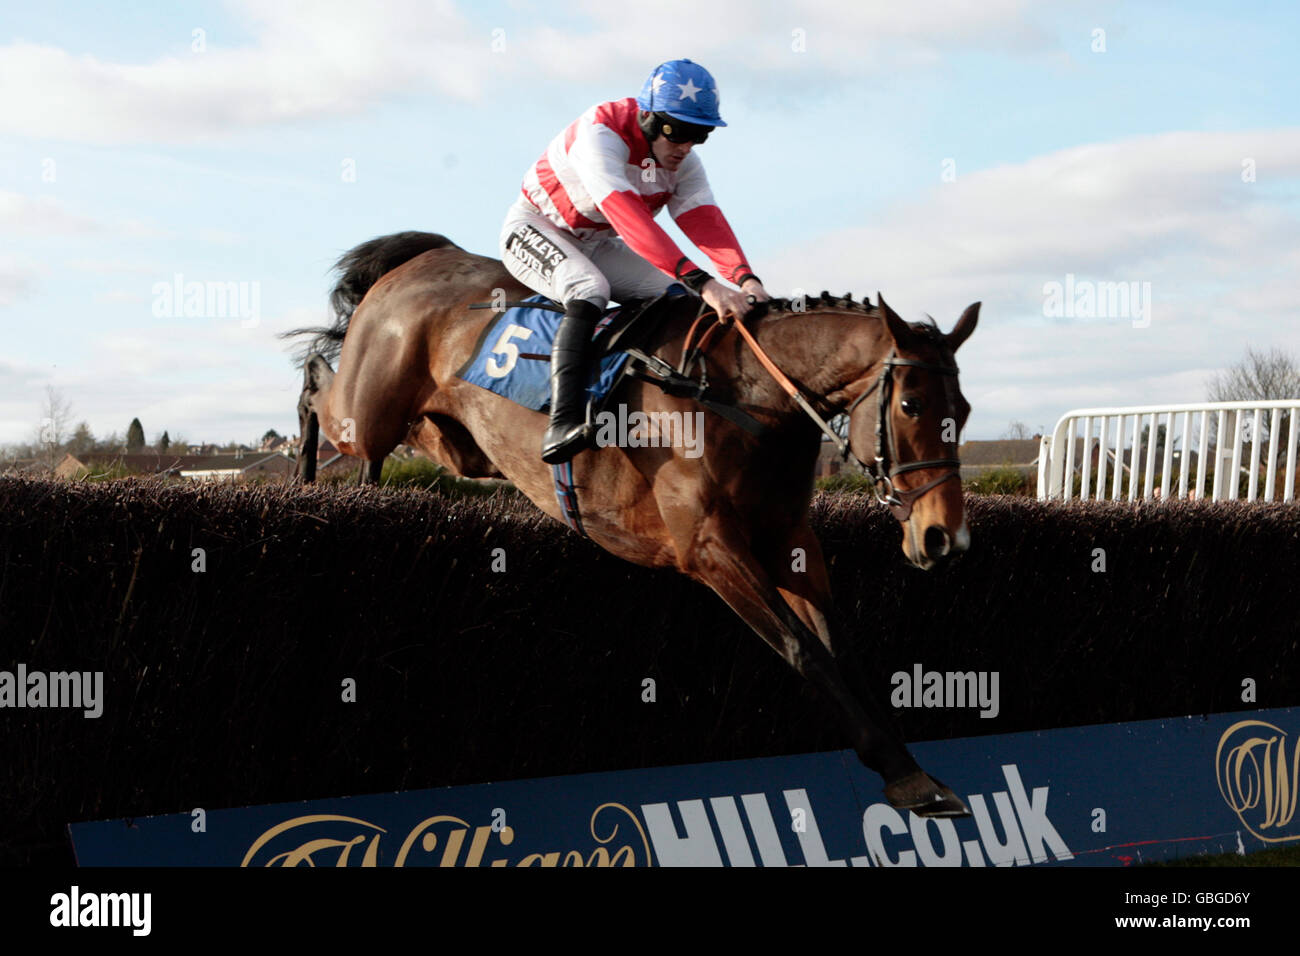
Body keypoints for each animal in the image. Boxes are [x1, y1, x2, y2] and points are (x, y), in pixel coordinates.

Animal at [285, 231, 980, 816]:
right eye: (911, 404)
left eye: (966, 410)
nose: (944, 538)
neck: (749, 395)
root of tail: (425, 258)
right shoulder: (709, 548)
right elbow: (801, 649)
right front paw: (902, 772)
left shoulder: (789, 540)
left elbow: (843, 650)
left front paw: (911, 770)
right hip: (369, 410)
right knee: (318, 386)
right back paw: (306, 478)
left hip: (463, 444)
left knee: (397, 425)